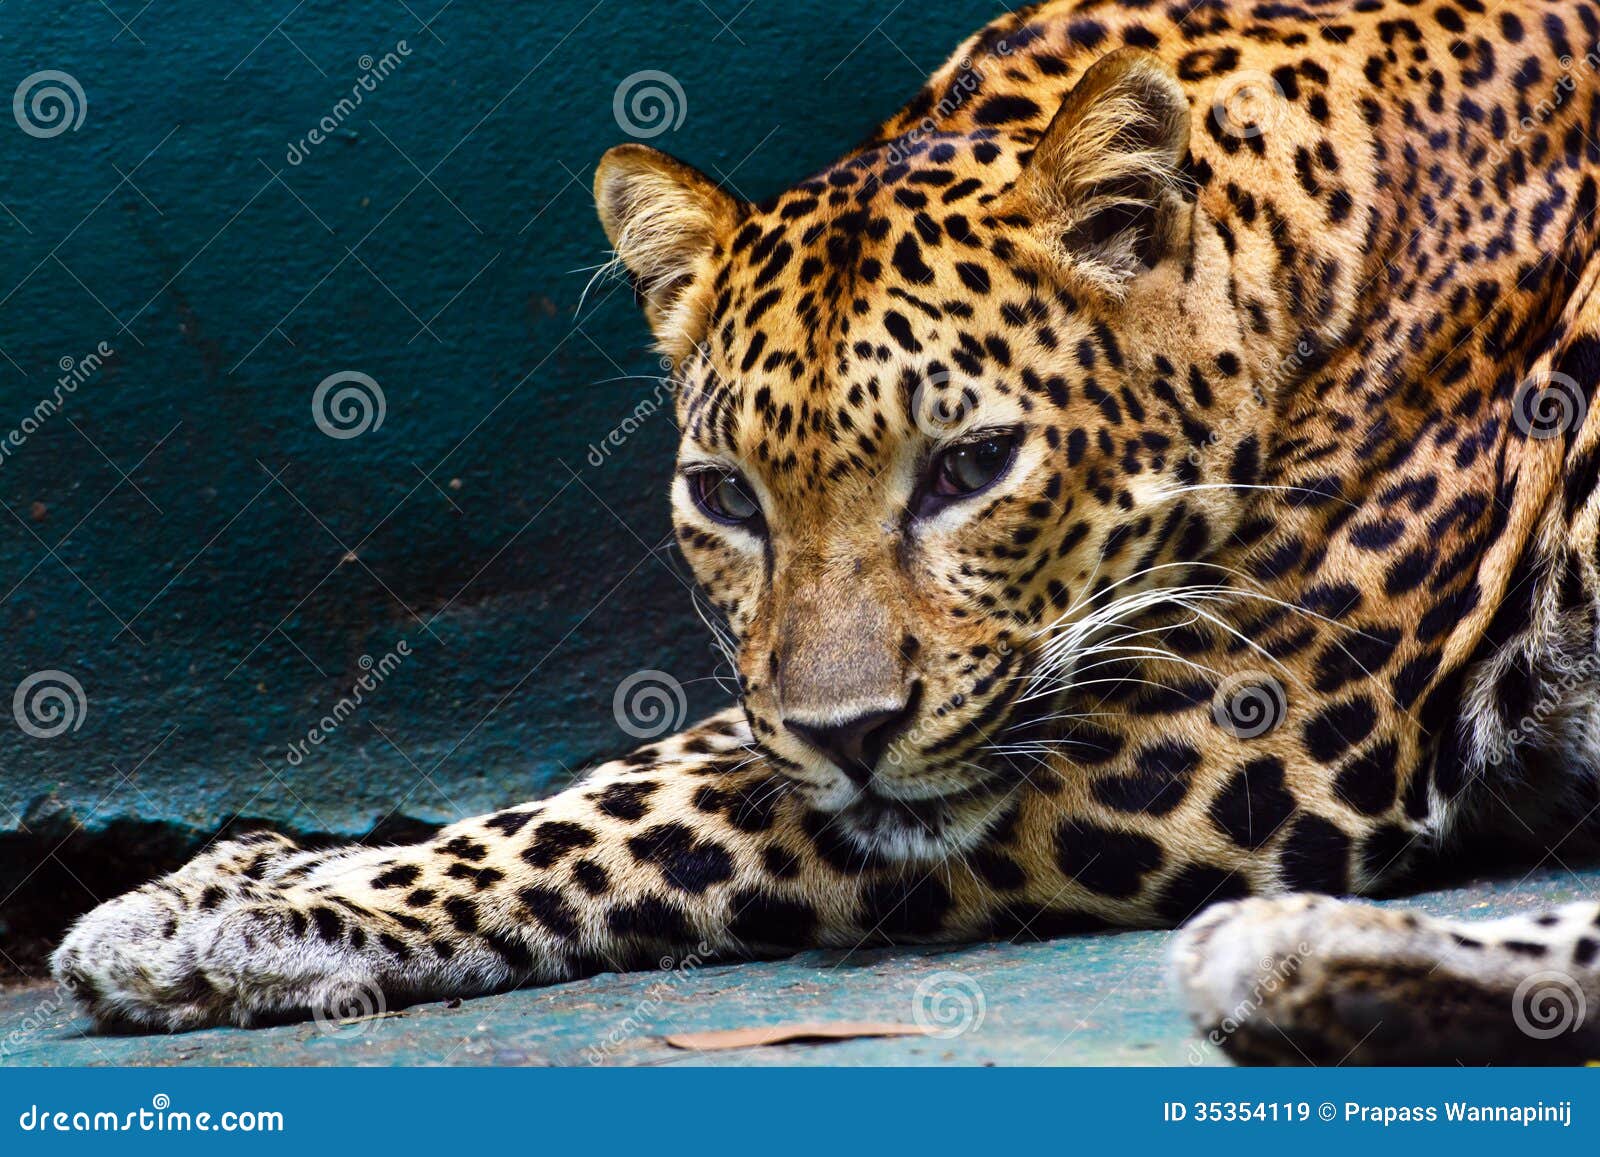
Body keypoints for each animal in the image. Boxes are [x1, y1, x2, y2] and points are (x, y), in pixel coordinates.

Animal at [51, 0, 1600, 1064]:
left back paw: (1292, 961)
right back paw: (1318, 973)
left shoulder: (1230, 722)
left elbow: (642, 807)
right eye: (730, 496)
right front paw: (228, 876)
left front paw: (236, 916)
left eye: (971, 465)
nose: (850, 731)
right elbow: (646, 771)